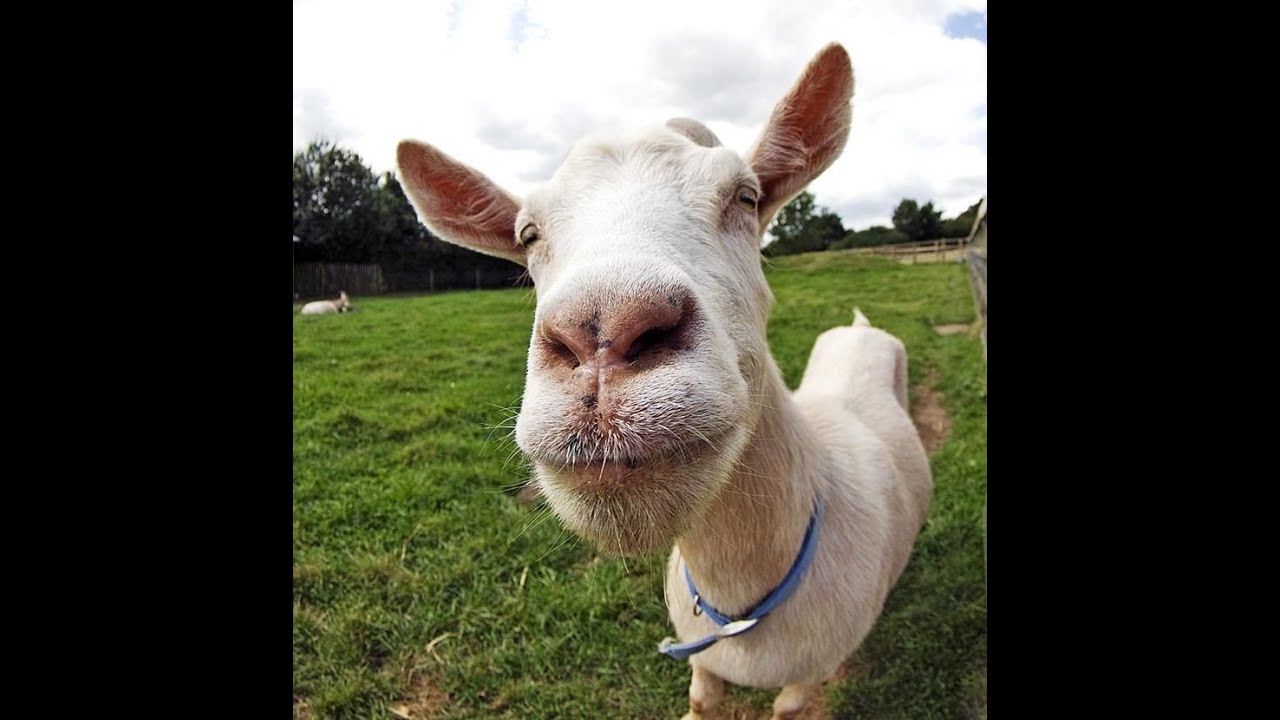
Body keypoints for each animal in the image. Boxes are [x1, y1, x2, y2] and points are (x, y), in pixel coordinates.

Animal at [396, 43, 932, 719]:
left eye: (746, 196)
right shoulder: (700, 657)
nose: (603, 332)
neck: (742, 608)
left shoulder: (811, 674)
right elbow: (701, 700)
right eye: (528, 233)